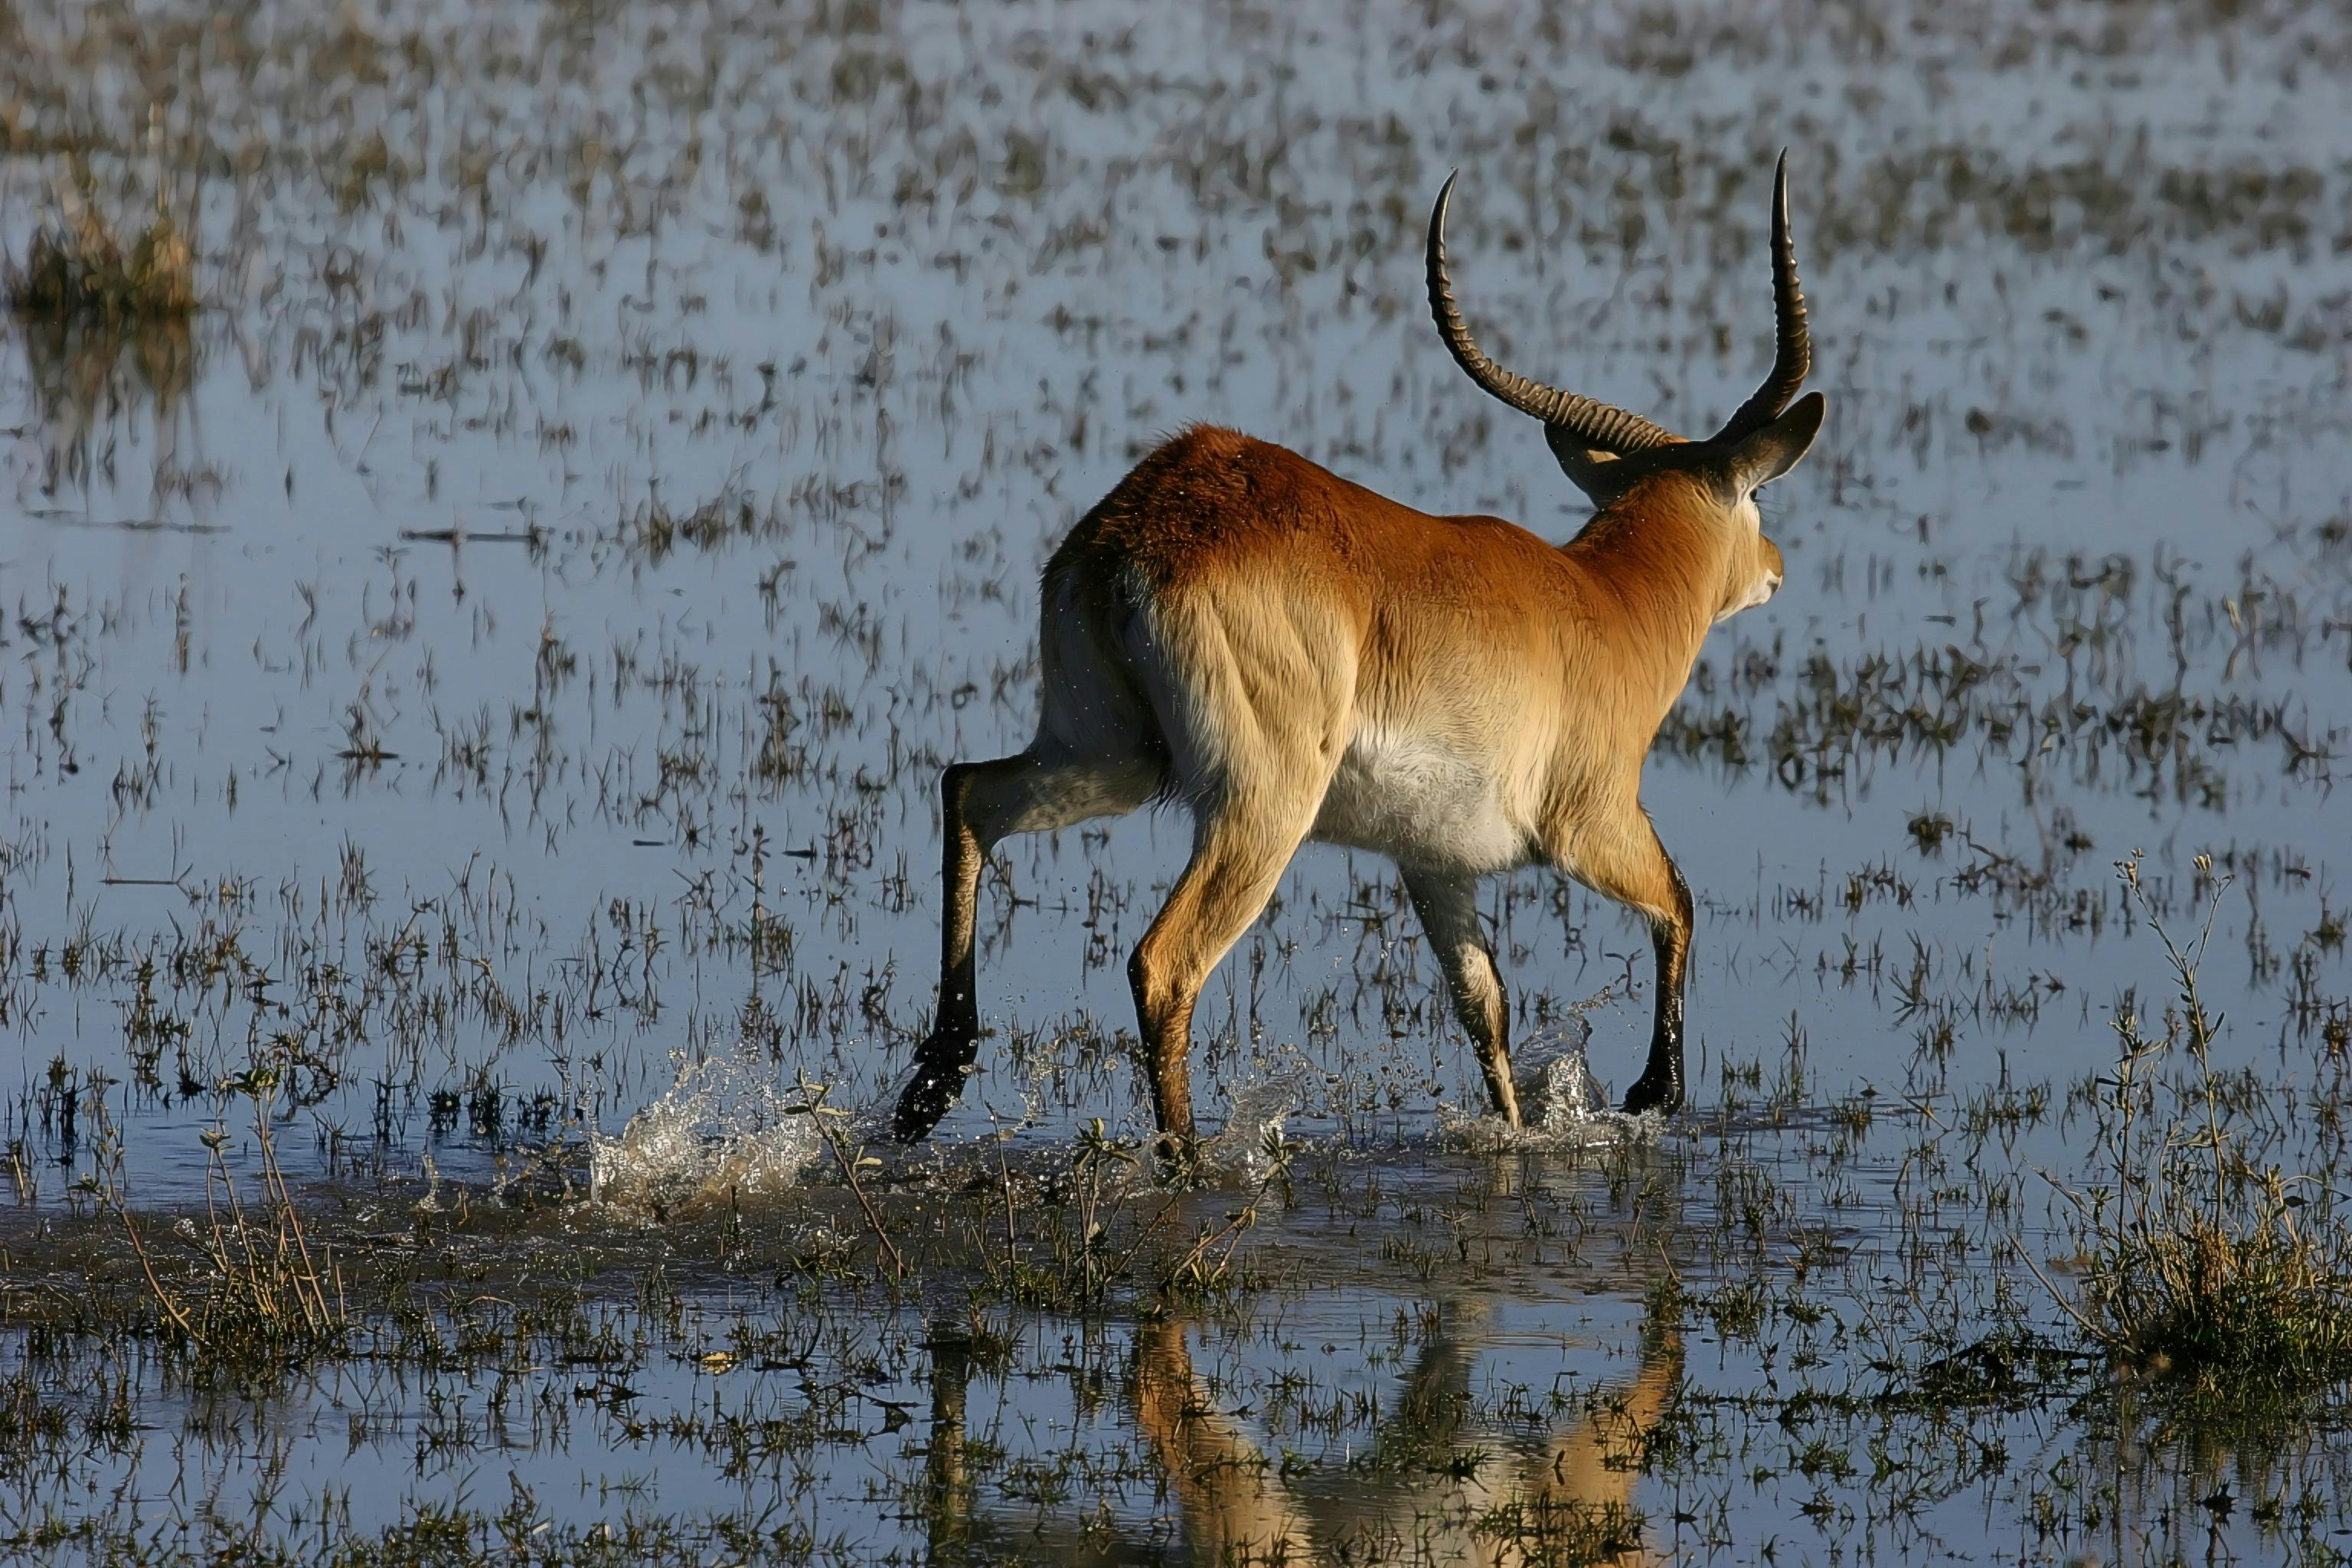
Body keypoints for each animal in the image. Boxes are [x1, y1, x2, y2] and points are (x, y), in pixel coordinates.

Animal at [893, 153, 1823, 1156]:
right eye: (1755, 495)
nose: (1777, 566)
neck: (1604, 605)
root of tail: (1134, 531)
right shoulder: (1591, 820)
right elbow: (1680, 899)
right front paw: (1655, 1089)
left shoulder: (1434, 860)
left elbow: (1485, 1009)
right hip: (1260, 804)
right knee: (1162, 961)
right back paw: (1185, 1161)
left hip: (1108, 754)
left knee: (970, 790)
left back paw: (930, 1090)